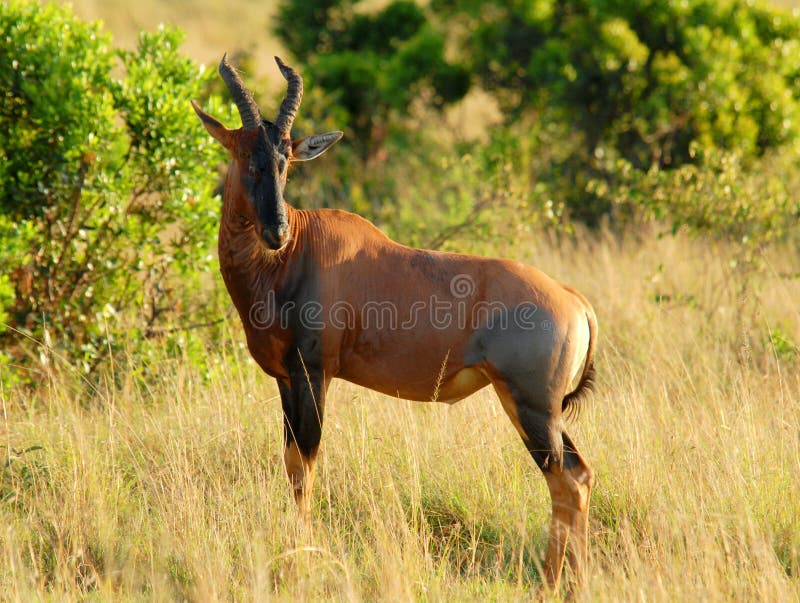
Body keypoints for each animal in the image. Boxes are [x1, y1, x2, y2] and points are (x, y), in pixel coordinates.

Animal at [192, 55, 598, 590]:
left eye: (287, 161)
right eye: (246, 155)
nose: (275, 231)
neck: (294, 254)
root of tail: (574, 299)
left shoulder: (313, 373)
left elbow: (306, 466)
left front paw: (302, 560)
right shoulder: (284, 379)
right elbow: (290, 462)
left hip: (532, 405)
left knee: (566, 478)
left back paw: (558, 582)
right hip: (528, 406)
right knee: (577, 475)